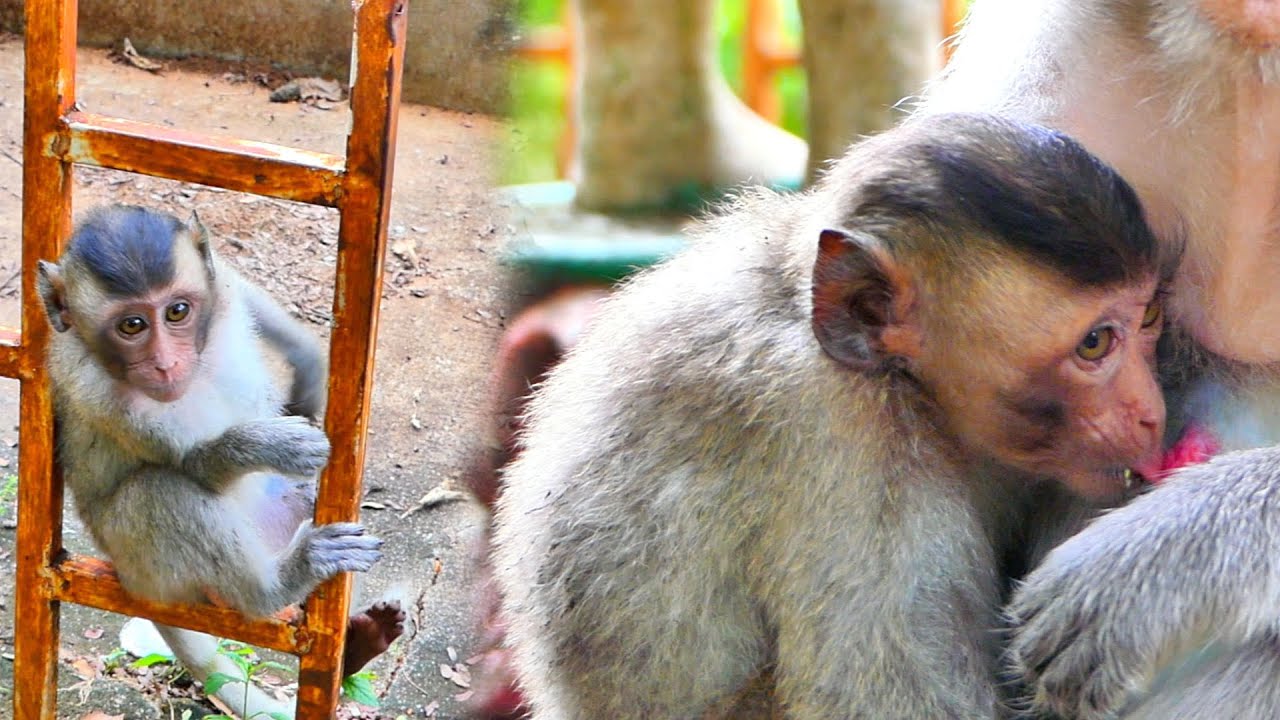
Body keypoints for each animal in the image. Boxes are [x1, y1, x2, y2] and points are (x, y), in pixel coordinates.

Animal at [37, 204, 404, 719]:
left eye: (177, 311)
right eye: (132, 326)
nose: (165, 364)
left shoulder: (221, 285)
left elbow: (245, 293)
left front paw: (309, 365)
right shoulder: (101, 395)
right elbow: (194, 465)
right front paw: (268, 444)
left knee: (298, 497)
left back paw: (360, 642)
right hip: (149, 571)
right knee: (160, 493)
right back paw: (282, 583)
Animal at [489, 112, 1176, 719]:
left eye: (1148, 317)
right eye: (1094, 344)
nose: (1151, 413)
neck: (906, 388)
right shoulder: (843, 443)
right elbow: (872, 702)